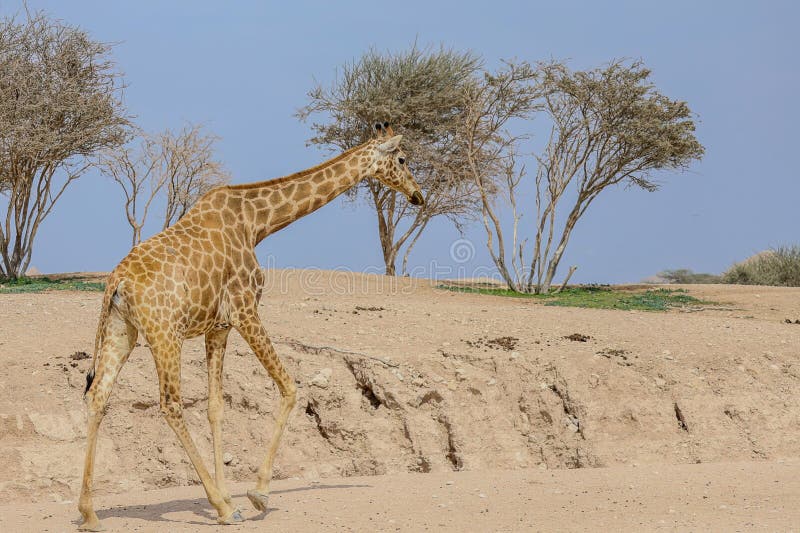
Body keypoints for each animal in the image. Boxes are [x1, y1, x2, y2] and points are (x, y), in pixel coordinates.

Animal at [77, 123, 423, 530]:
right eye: (402, 159)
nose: (418, 196)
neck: (257, 222)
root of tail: (115, 282)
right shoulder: (245, 309)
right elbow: (289, 387)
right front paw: (255, 495)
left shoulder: (218, 327)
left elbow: (215, 407)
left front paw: (231, 493)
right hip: (165, 334)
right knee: (170, 405)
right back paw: (222, 509)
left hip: (121, 331)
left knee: (98, 396)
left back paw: (89, 513)